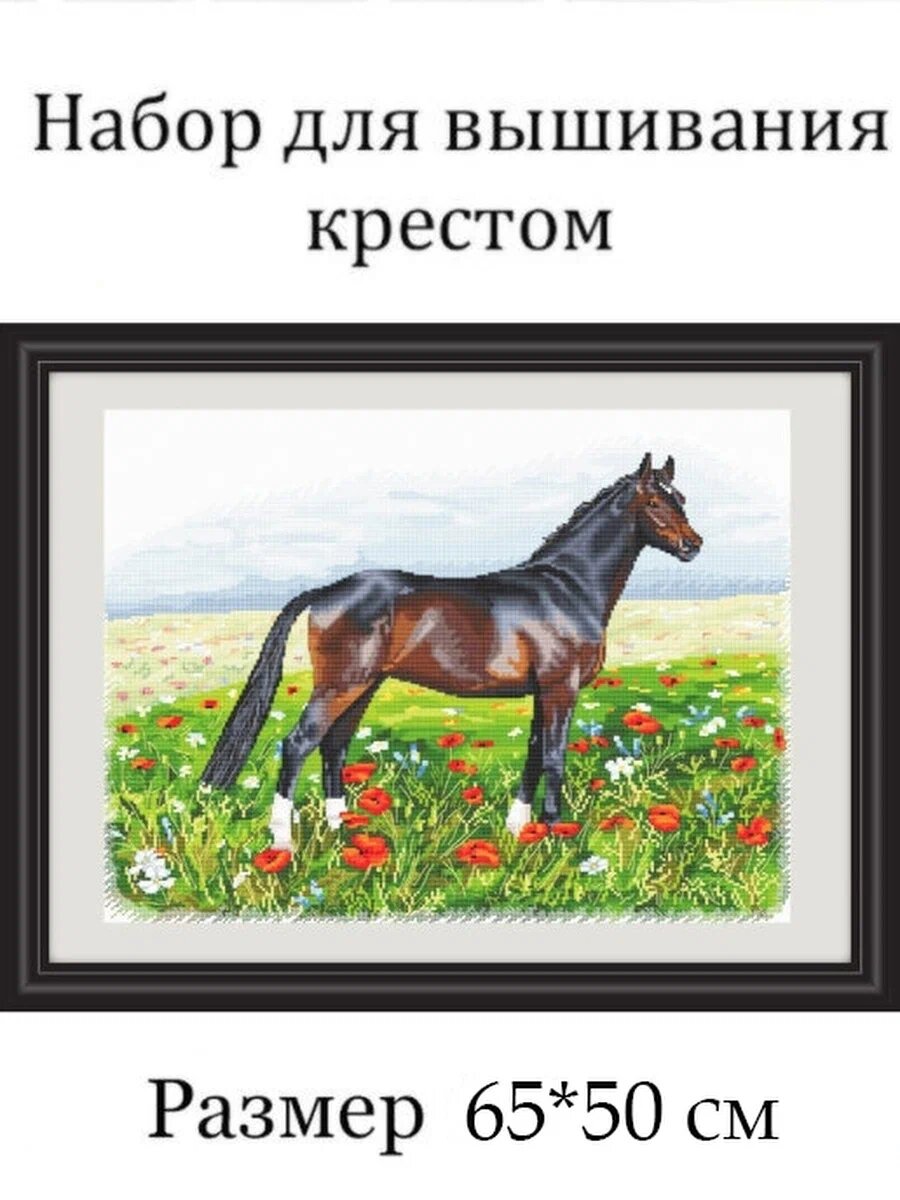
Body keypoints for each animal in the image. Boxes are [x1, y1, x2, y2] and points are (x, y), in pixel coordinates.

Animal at [201, 453, 702, 850]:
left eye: (681, 498)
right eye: (654, 502)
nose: (693, 546)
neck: (566, 588)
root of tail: (326, 592)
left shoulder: (544, 692)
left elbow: (534, 754)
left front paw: (520, 831)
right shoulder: (562, 688)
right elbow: (554, 759)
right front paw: (556, 836)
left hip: (363, 686)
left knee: (334, 747)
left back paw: (344, 832)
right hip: (342, 684)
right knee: (298, 744)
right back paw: (283, 844)